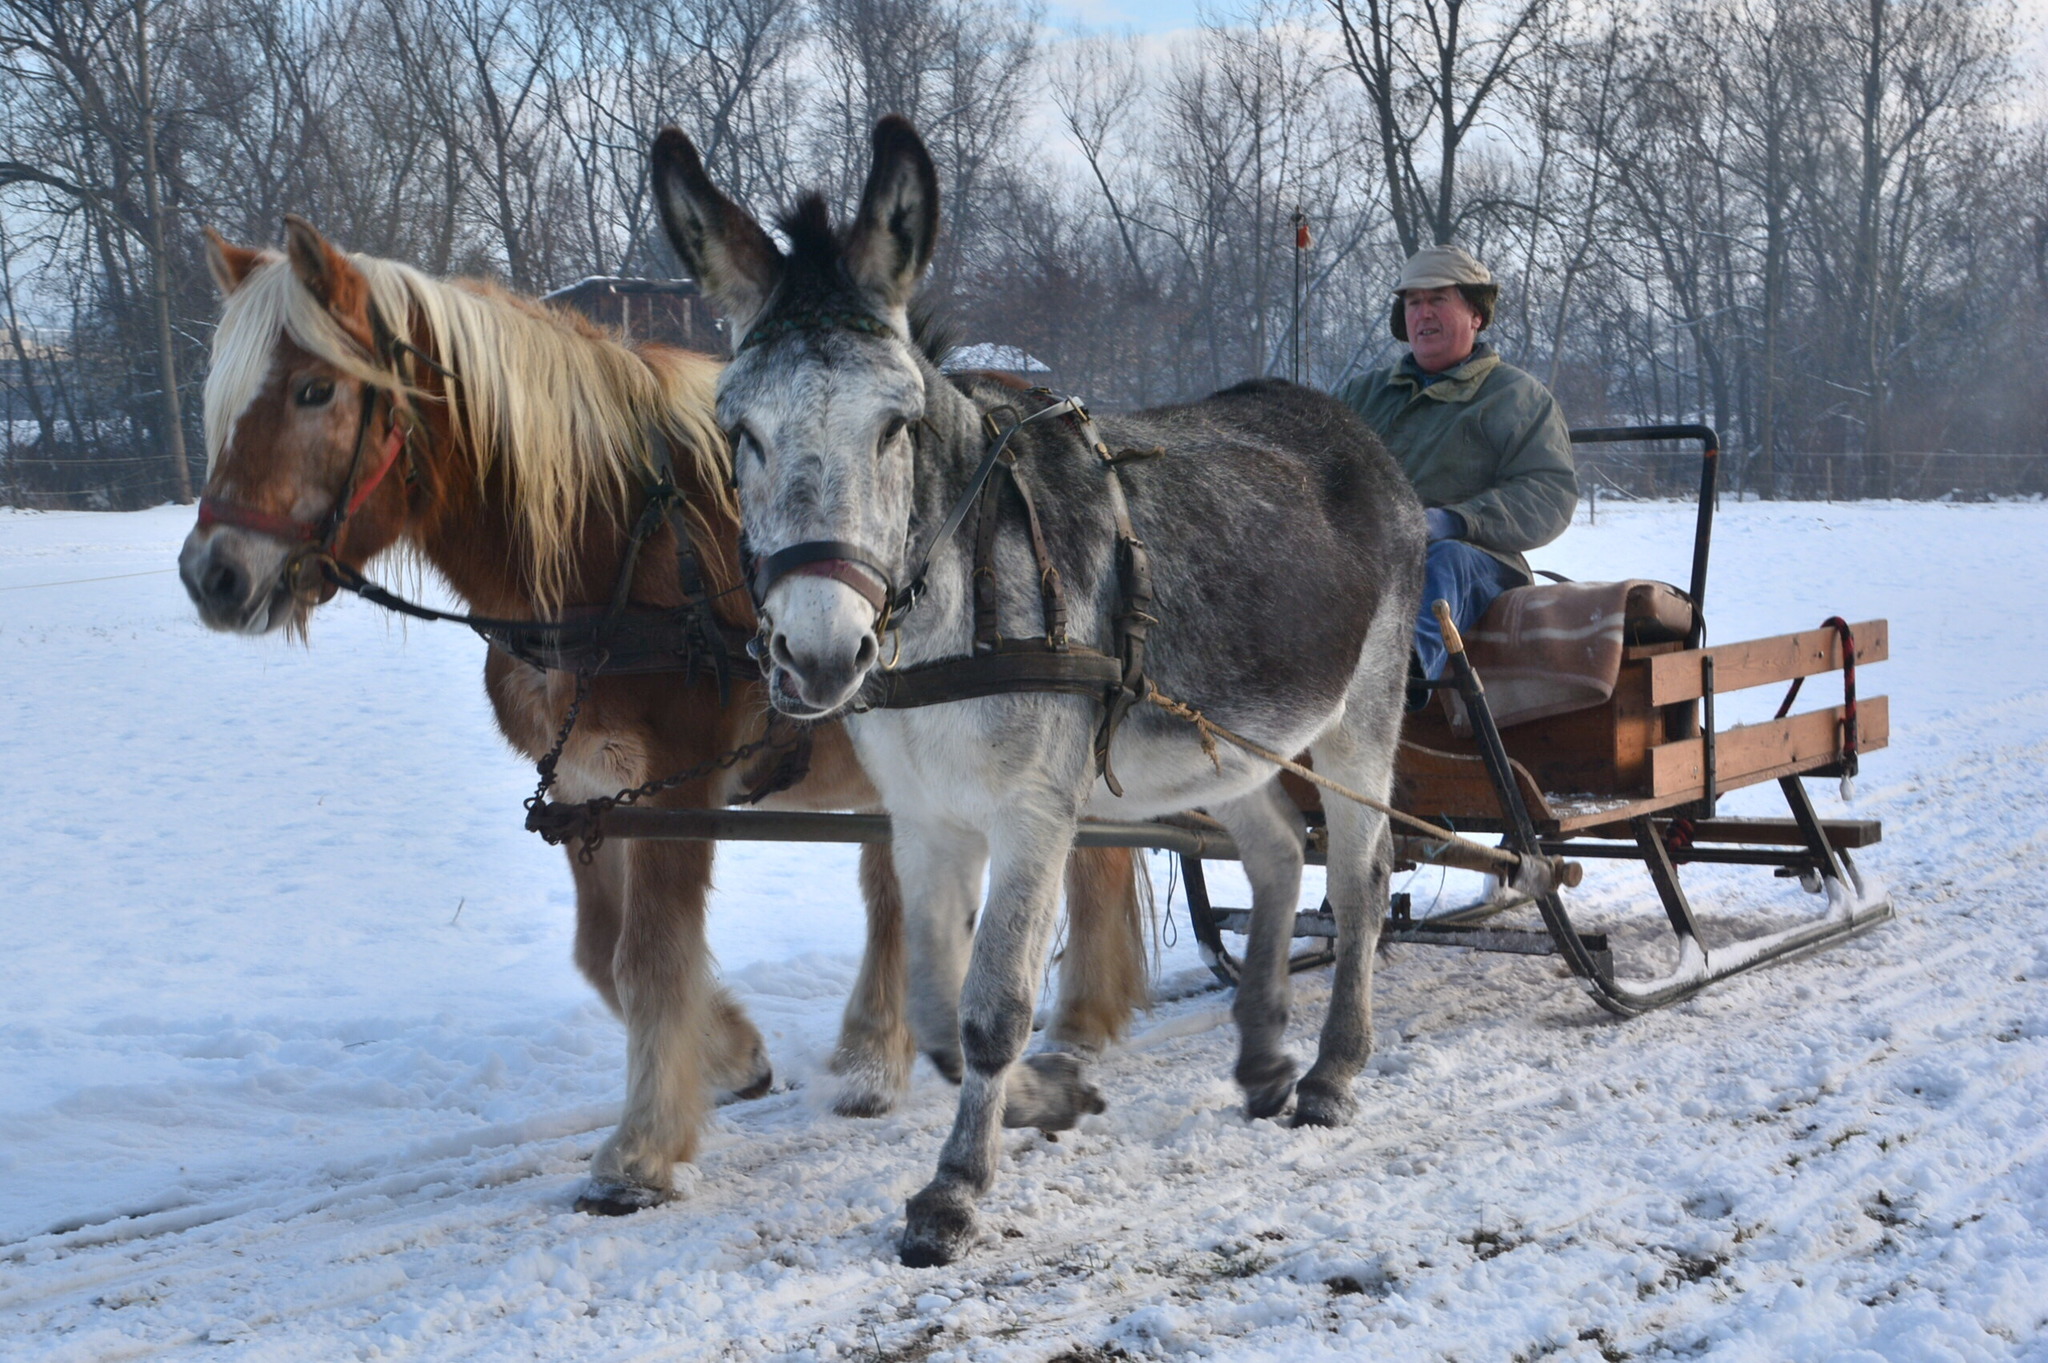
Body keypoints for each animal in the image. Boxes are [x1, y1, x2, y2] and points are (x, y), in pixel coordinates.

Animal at [177, 216, 1151, 1216]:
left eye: (314, 389)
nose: (212, 573)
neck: (611, 550)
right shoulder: (586, 792)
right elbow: (600, 953)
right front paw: (733, 1054)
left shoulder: (674, 792)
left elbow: (647, 958)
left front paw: (640, 1149)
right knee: (911, 893)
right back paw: (905, 1050)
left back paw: (1039, 1027)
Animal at [651, 116, 1426, 1265]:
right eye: (738, 428)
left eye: (894, 425)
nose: (819, 656)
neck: (946, 608)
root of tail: (1353, 428)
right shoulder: (923, 814)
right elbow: (935, 1010)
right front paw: (1052, 1097)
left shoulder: (1032, 809)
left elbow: (993, 1006)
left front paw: (954, 1189)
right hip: (1225, 742)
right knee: (1282, 855)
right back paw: (1259, 1063)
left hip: (1360, 718)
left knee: (1363, 878)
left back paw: (1331, 1073)